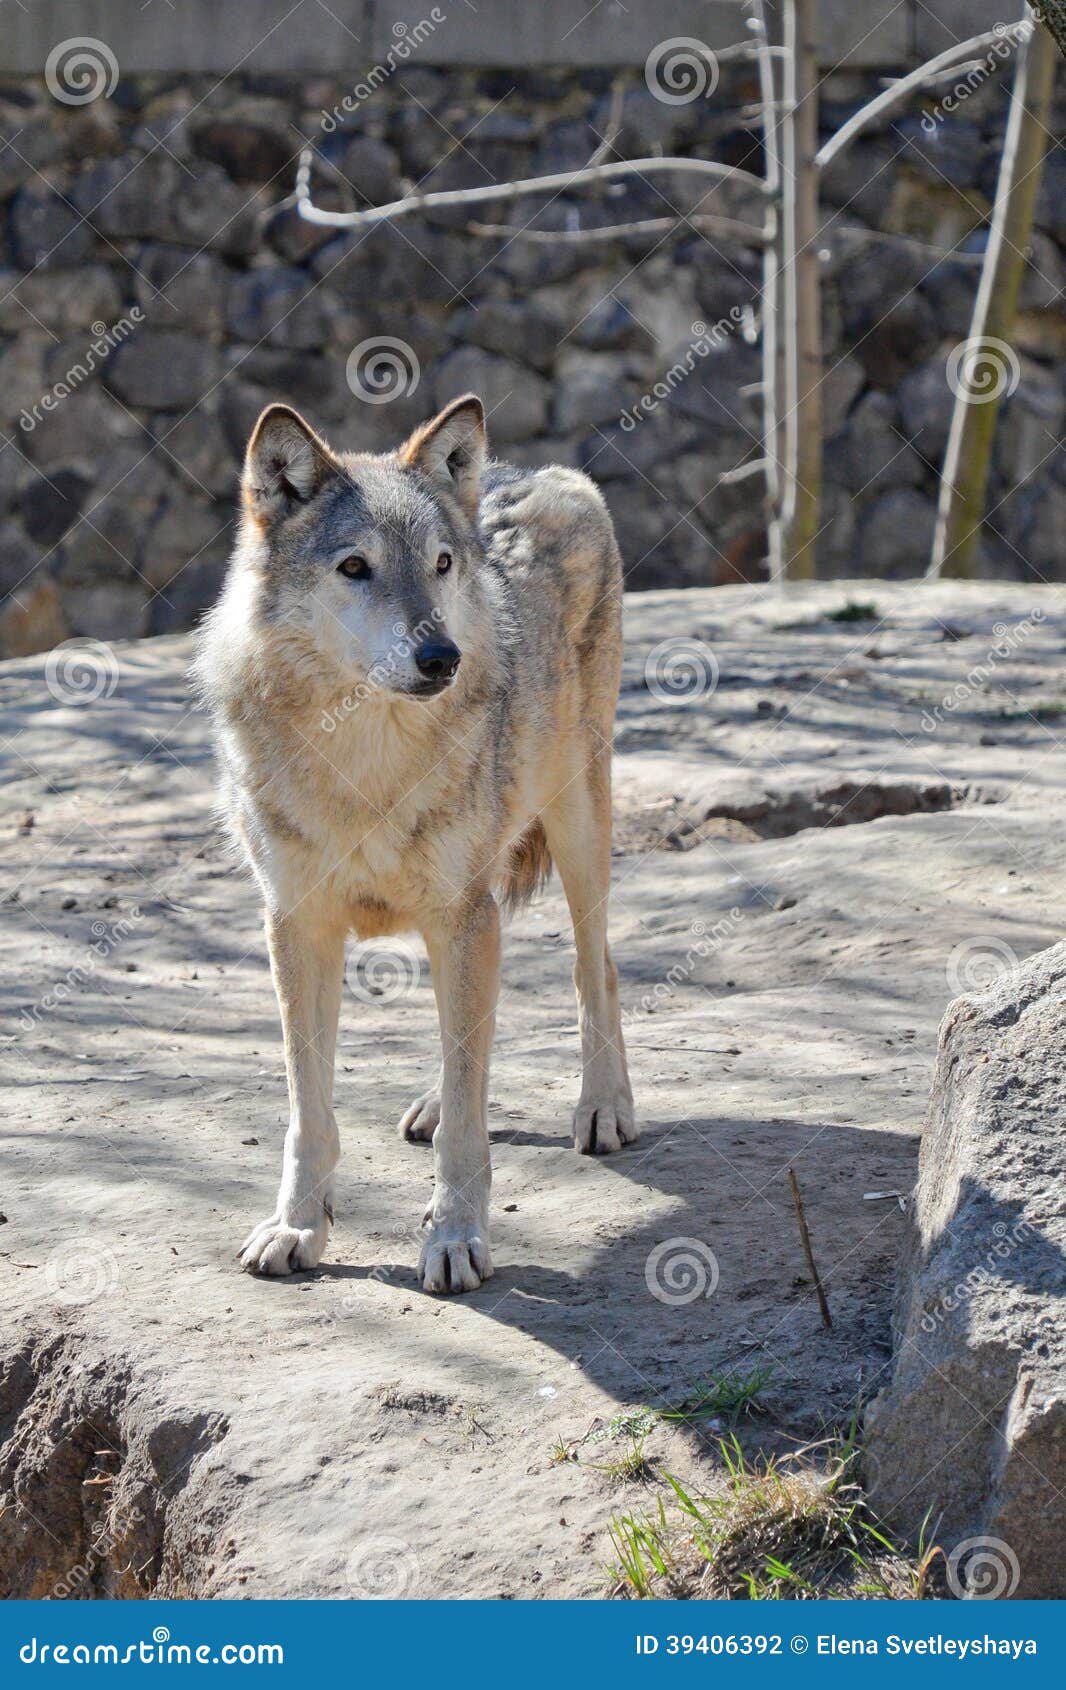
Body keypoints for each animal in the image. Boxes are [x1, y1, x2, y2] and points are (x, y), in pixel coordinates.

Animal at [194, 393, 636, 1294]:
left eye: (439, 564)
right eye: (354, 567)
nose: (442, 656)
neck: (364, 765)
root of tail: (531, 469)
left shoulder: (461, 914)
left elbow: (470, 1118)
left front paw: (455, 1238)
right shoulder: (297, 925)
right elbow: (310, 1108)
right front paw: (297, 1227)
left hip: (576, 819)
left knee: (594, 967)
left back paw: (604, 1106)